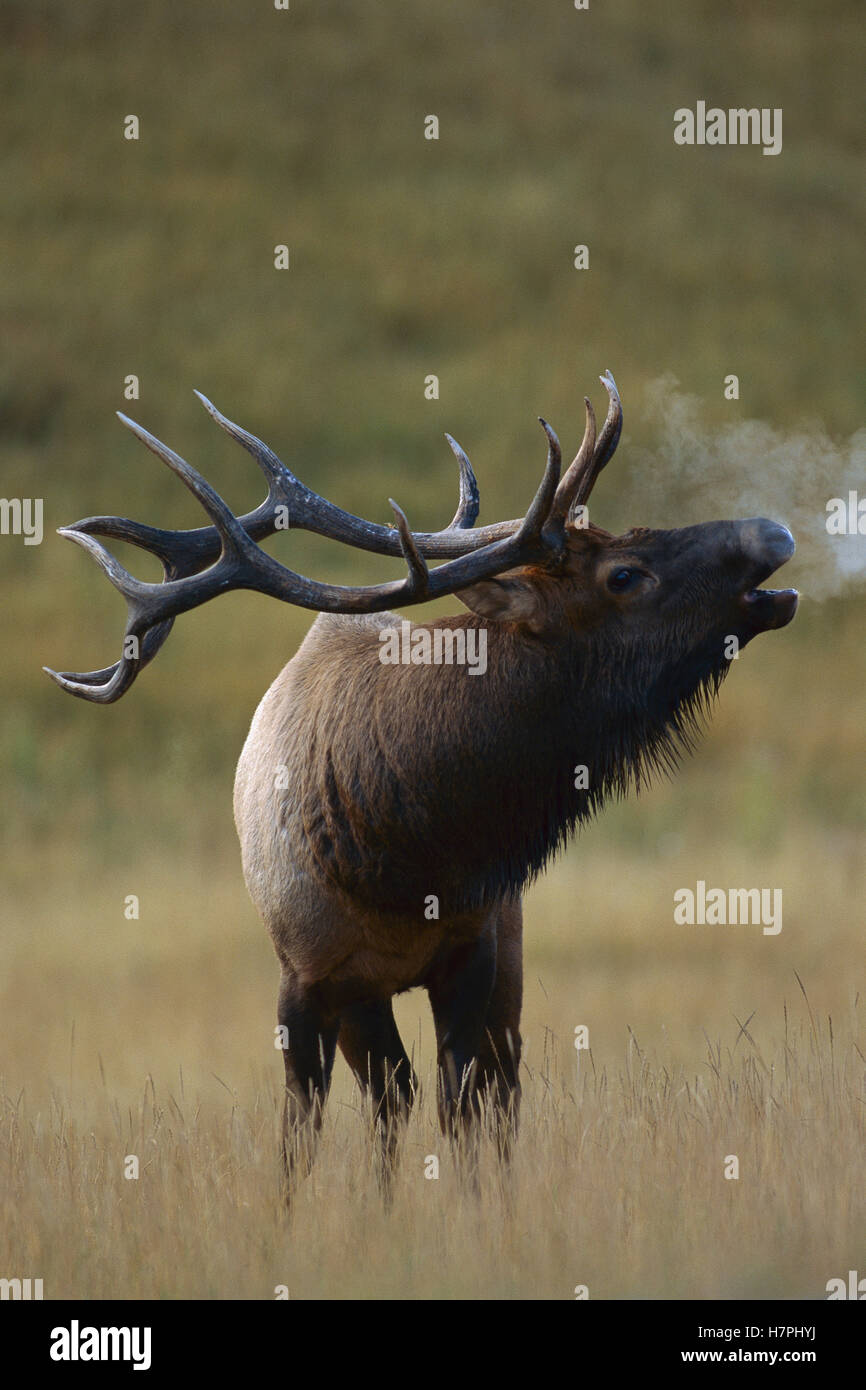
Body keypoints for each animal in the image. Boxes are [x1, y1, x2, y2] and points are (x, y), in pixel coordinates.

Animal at [45, 371, 799, 1191]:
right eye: (623, 574)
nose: (772, 532)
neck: (405, 859)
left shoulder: (474, 952)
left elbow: (463, 1104)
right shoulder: (307, 974)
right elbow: (303, 1129)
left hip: (504, 958)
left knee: (490, 1090)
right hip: (360, 997)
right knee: (391, 1092)